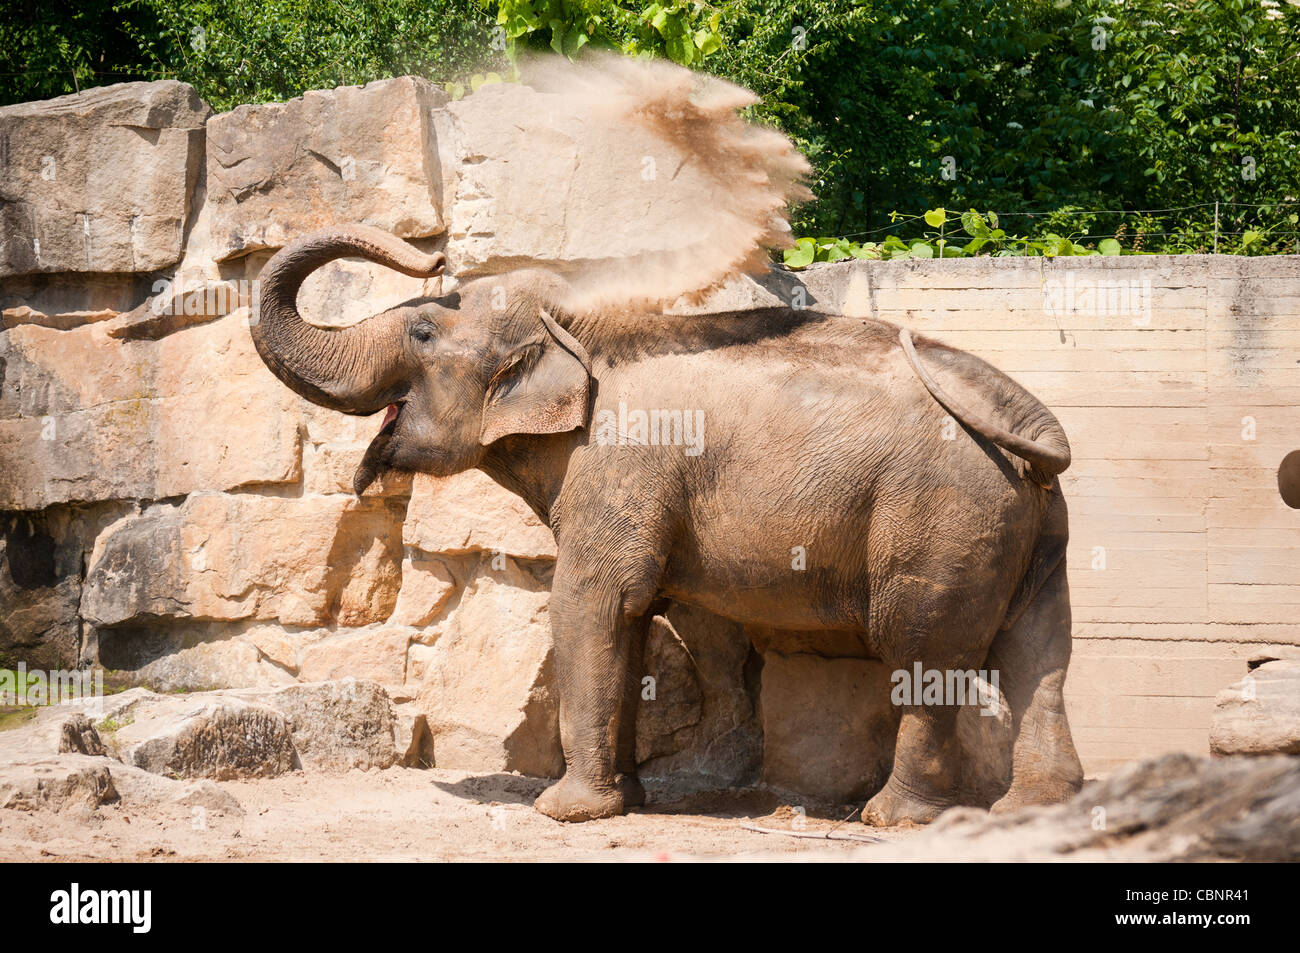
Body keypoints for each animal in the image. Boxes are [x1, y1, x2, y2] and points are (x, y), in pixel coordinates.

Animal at [250, 224, 1085, 824]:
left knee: (921, 646)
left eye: (422, 333)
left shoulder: (619, 466)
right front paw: (626, 800)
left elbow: (589, 602)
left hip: (942, 518)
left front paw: (563, 811)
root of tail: (1033, 428)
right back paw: (1037, 807)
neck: (582, 324)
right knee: (1039, 655)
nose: (430, 252)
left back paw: (893, 817)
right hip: (1033, 529)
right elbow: (634, 618)